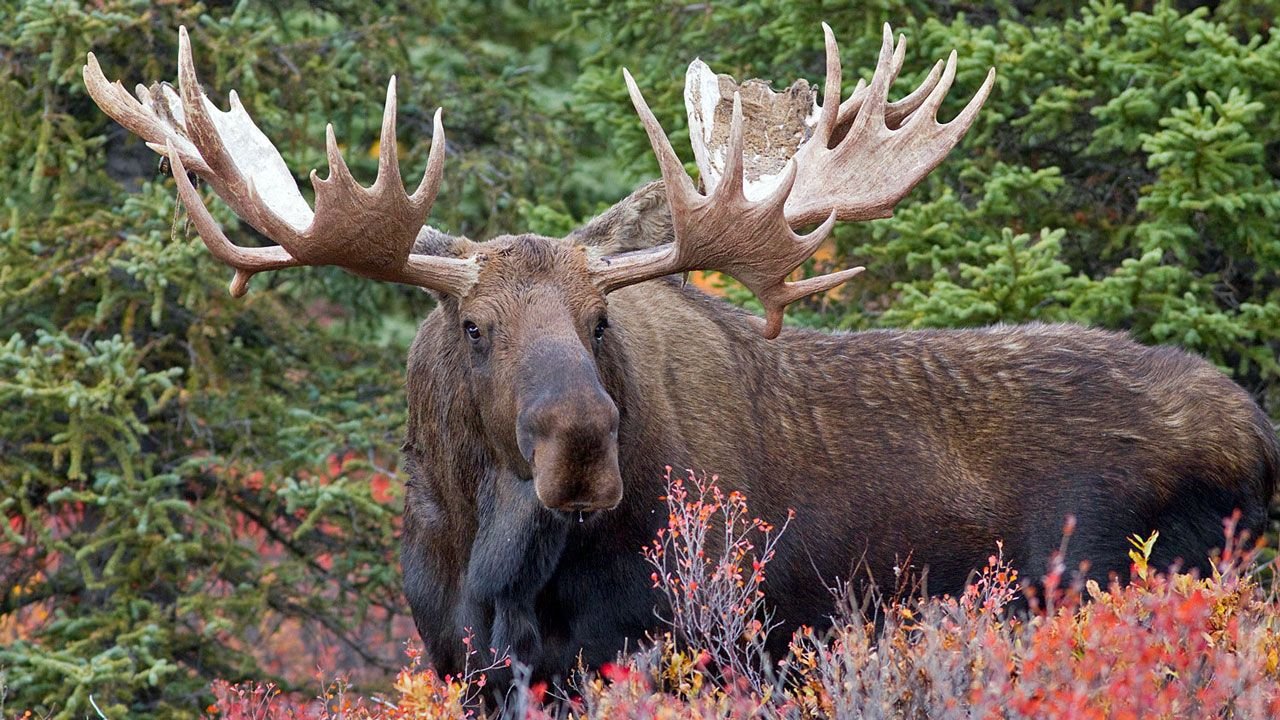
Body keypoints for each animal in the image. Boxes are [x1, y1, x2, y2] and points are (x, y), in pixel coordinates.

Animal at [85, 25, 1274, 676]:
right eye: (472, 328)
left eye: (599, 322)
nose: (579, 442)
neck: (489, 564)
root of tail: (1257, 429)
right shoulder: (461, 662)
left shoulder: (685, 642)